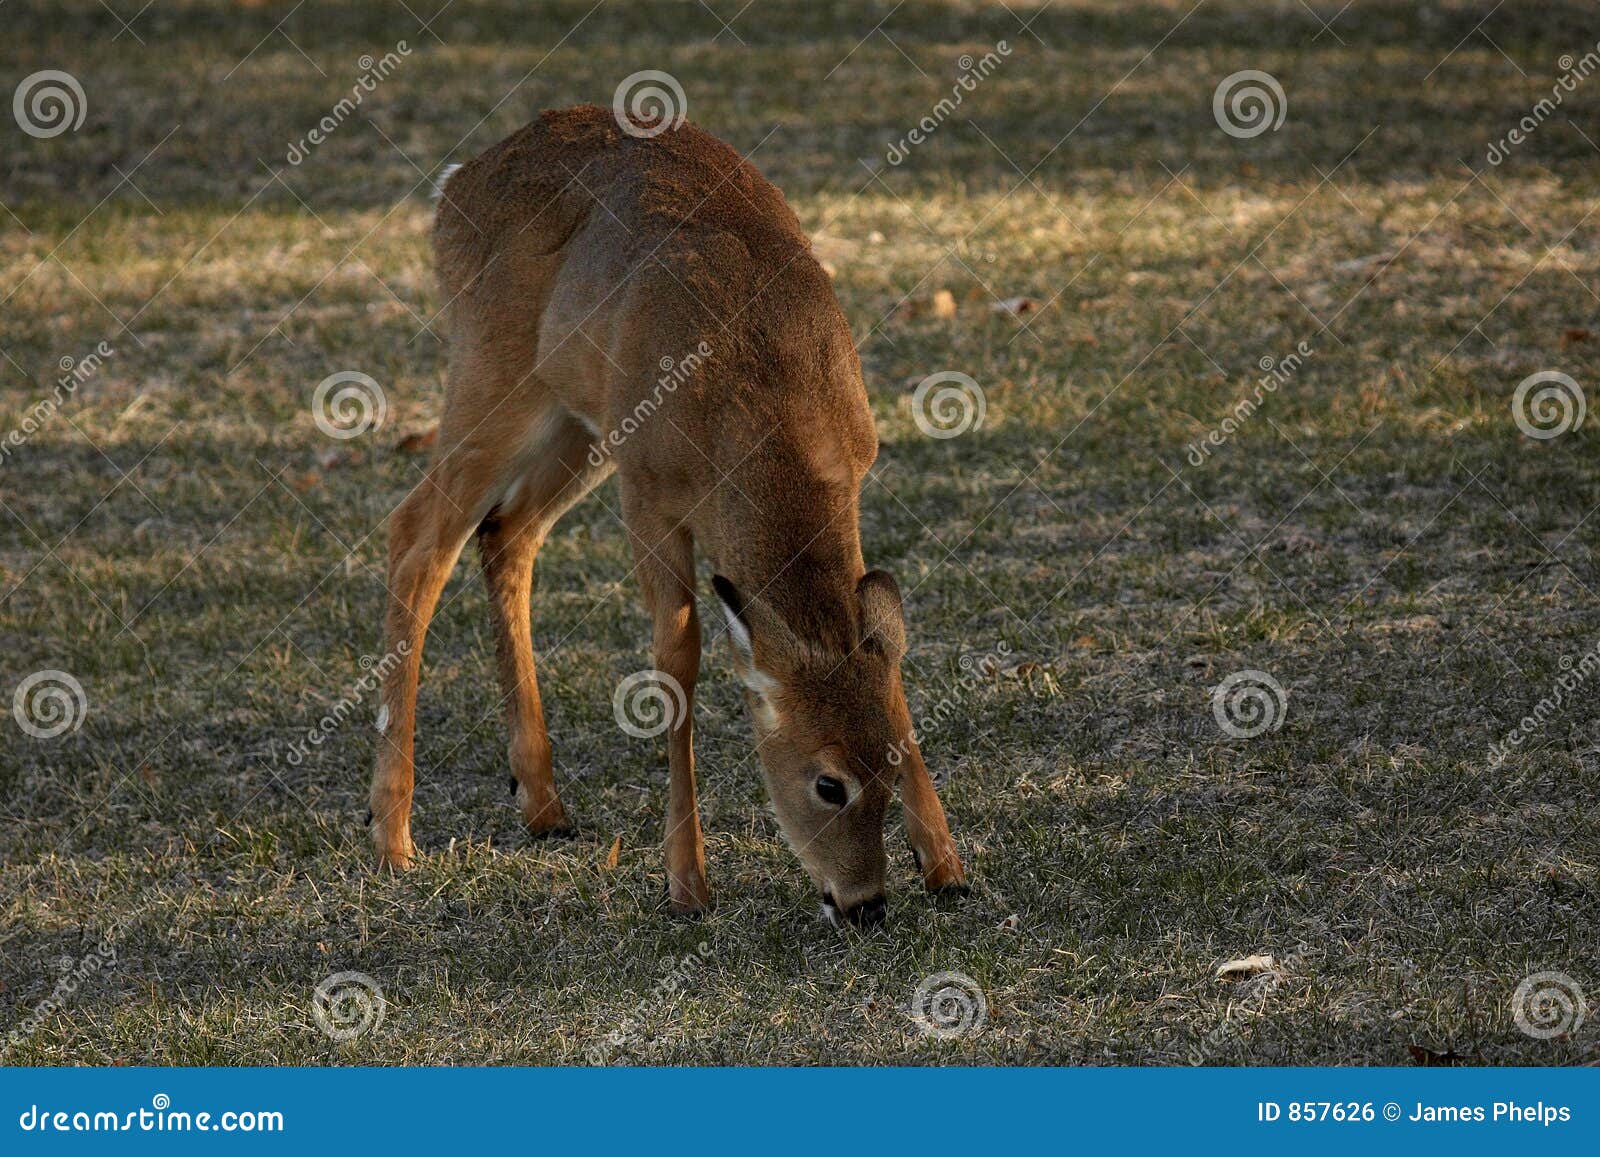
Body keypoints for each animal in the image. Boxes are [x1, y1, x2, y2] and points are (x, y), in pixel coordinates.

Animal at [367, 104, 967, 927]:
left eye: (890, 760)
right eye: (827, 782)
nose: (866, 903)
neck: (766, 414)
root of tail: (454, 185)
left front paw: (946, 862)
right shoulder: (648, 492)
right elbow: (677, 656)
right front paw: (687, 881)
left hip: (577, 421)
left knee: (506, 534)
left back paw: (543, 803)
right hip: (494, 374)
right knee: (417, 535)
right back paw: (392, 834)